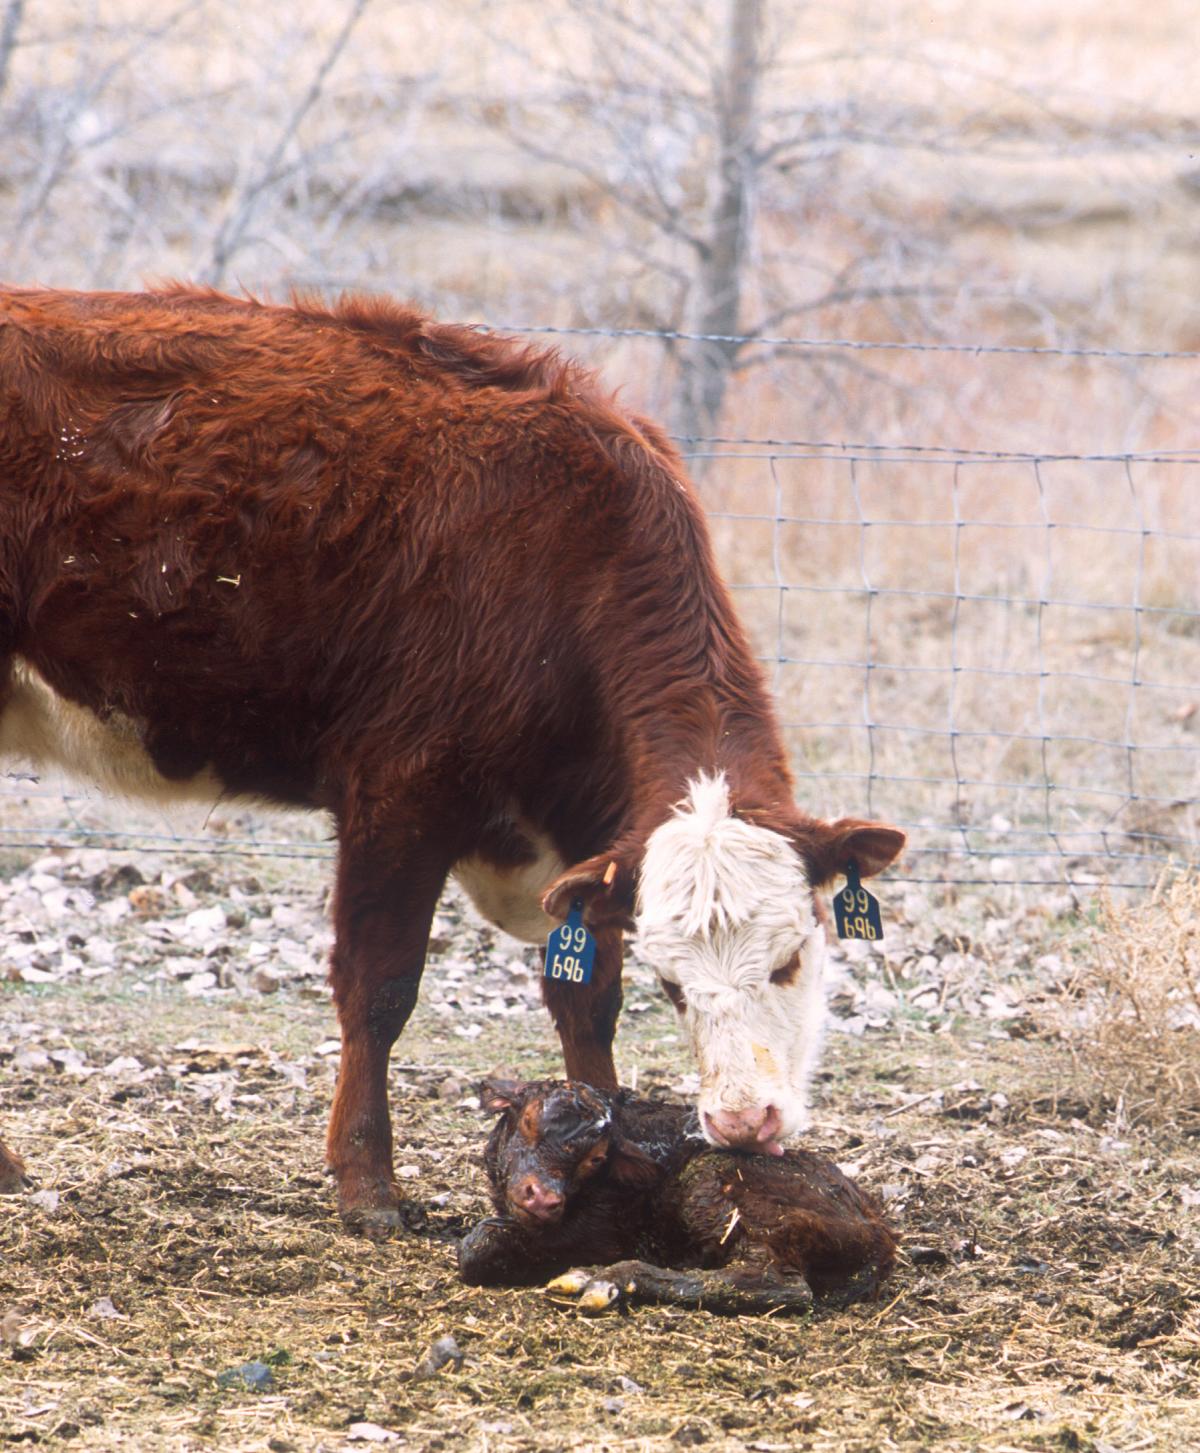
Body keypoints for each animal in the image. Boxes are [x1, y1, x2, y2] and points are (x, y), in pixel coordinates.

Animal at [0, 285, 904, 1230]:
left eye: (790, 955)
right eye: (676, 982)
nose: (741, 1120)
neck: (567, 565)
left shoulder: (588, 851)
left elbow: (586, 1000)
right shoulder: (400, 794)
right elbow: (380, 987)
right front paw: (368, 1184)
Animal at [459, 1078, 898, 1313]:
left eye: (596, 1158)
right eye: (528, 1121)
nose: (544, 1200)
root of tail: (879, 1233)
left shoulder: (604, 1230)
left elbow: (479, 1245)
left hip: (717, 1189)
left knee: (774, 1281)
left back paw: (610, 1279)